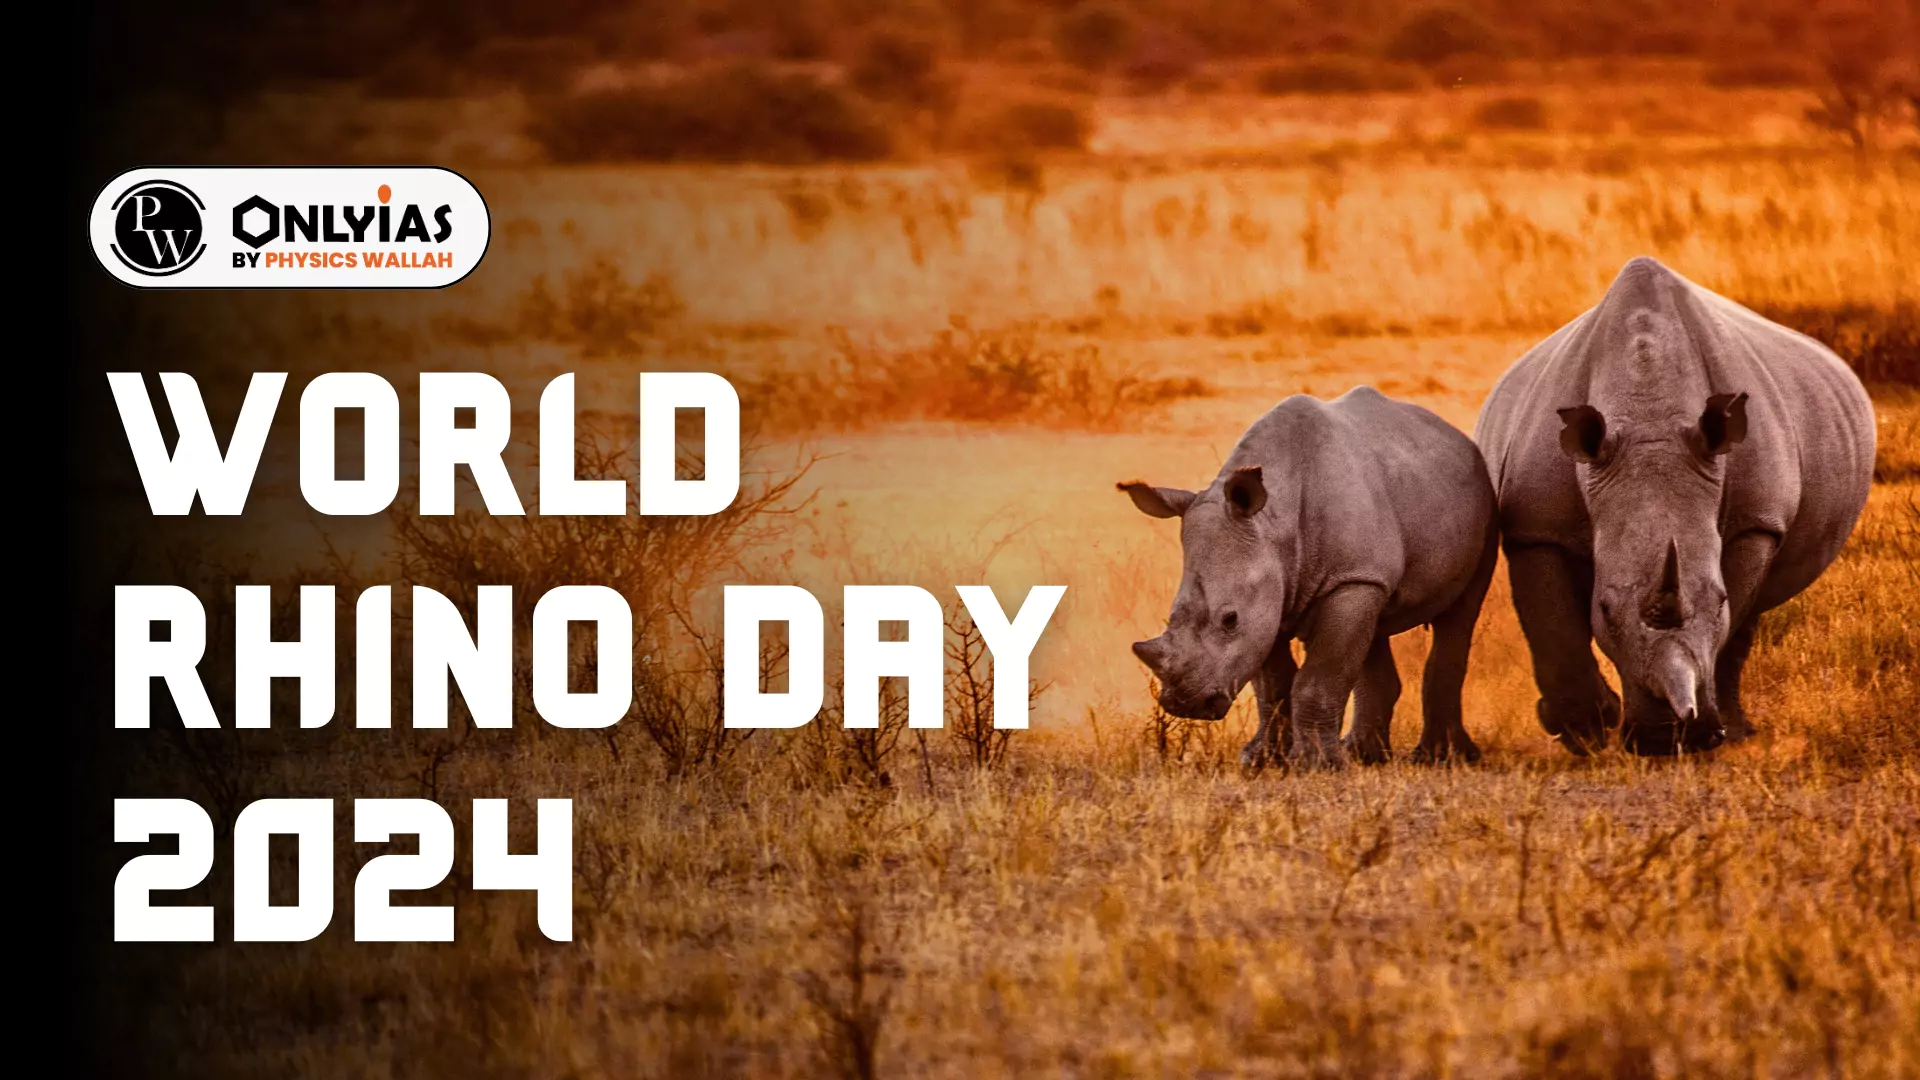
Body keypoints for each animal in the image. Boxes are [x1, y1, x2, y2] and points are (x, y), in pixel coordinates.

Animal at [1121, 387, 1498, 771]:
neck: (1273, 525)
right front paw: (1261, 761)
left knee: (1460, 614)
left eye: (1230, 619)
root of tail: (1457, 436)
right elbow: (1272, 684)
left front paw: (1317, 765)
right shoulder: (1278, 591)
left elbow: (1320, 677)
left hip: (1482, 503)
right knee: (1374, 625)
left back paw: (1441, 758)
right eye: (1171, 615)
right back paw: (1364, 756)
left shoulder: (1348, 580)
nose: (1186, 705)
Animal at [1476, 257, 1875, 755]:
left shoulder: (1755, 521)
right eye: (1605, 609)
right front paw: (1584, 732)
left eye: (1719, 600)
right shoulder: (1536, 525)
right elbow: (1552, 622)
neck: (1649, 417)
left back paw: (1737, 732)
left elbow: (1732, 618)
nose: (1666, 738)